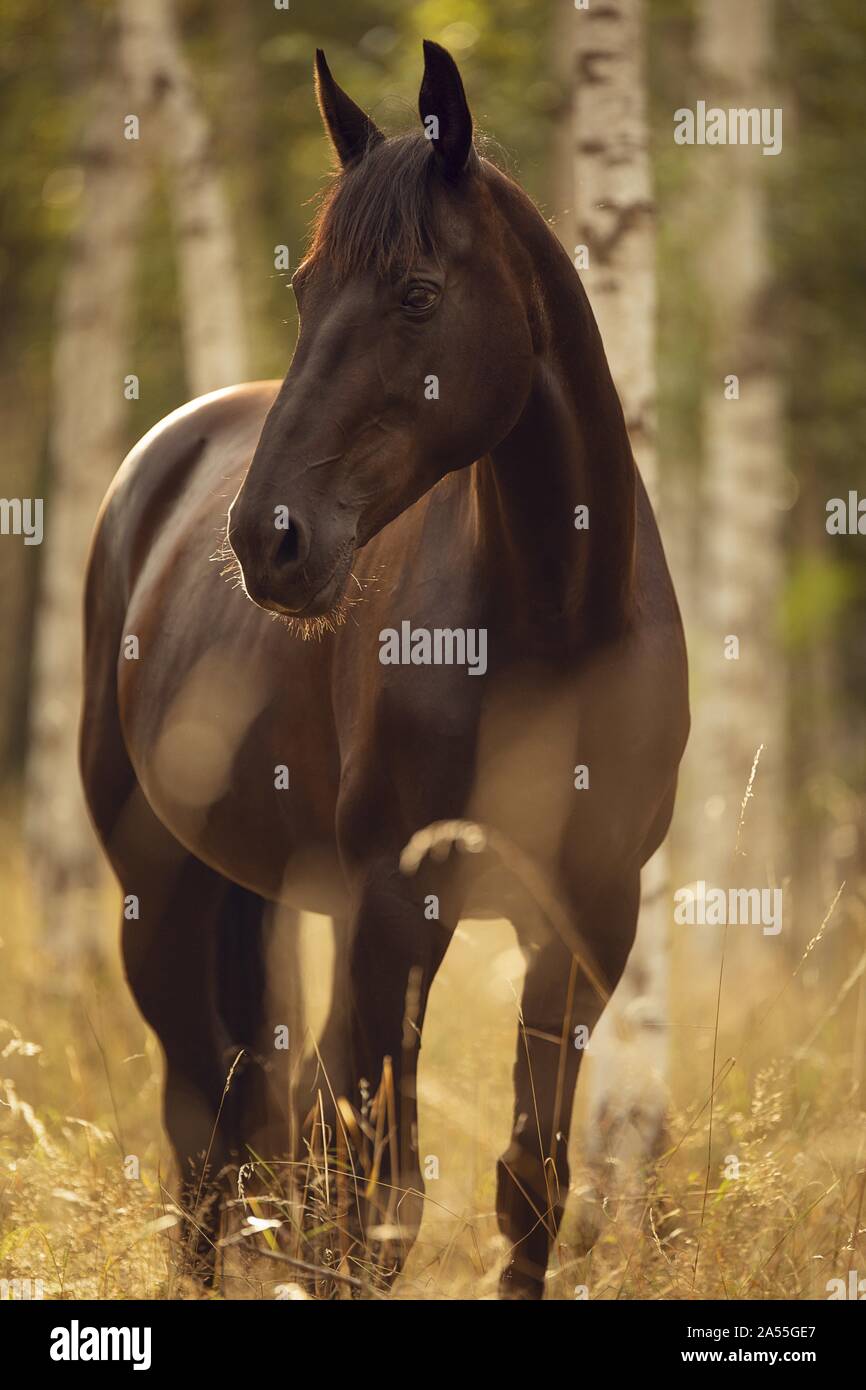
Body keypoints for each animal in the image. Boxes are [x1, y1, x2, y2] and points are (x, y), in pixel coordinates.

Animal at [80, 40, 689, 1299]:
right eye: (304, 291)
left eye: (416, 294)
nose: (268, 538)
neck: (556, 624)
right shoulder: (396, 911)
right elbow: (367, 1201)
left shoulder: (587, 921)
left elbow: (525, 1182)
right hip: (157, 894)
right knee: (207, 1129)